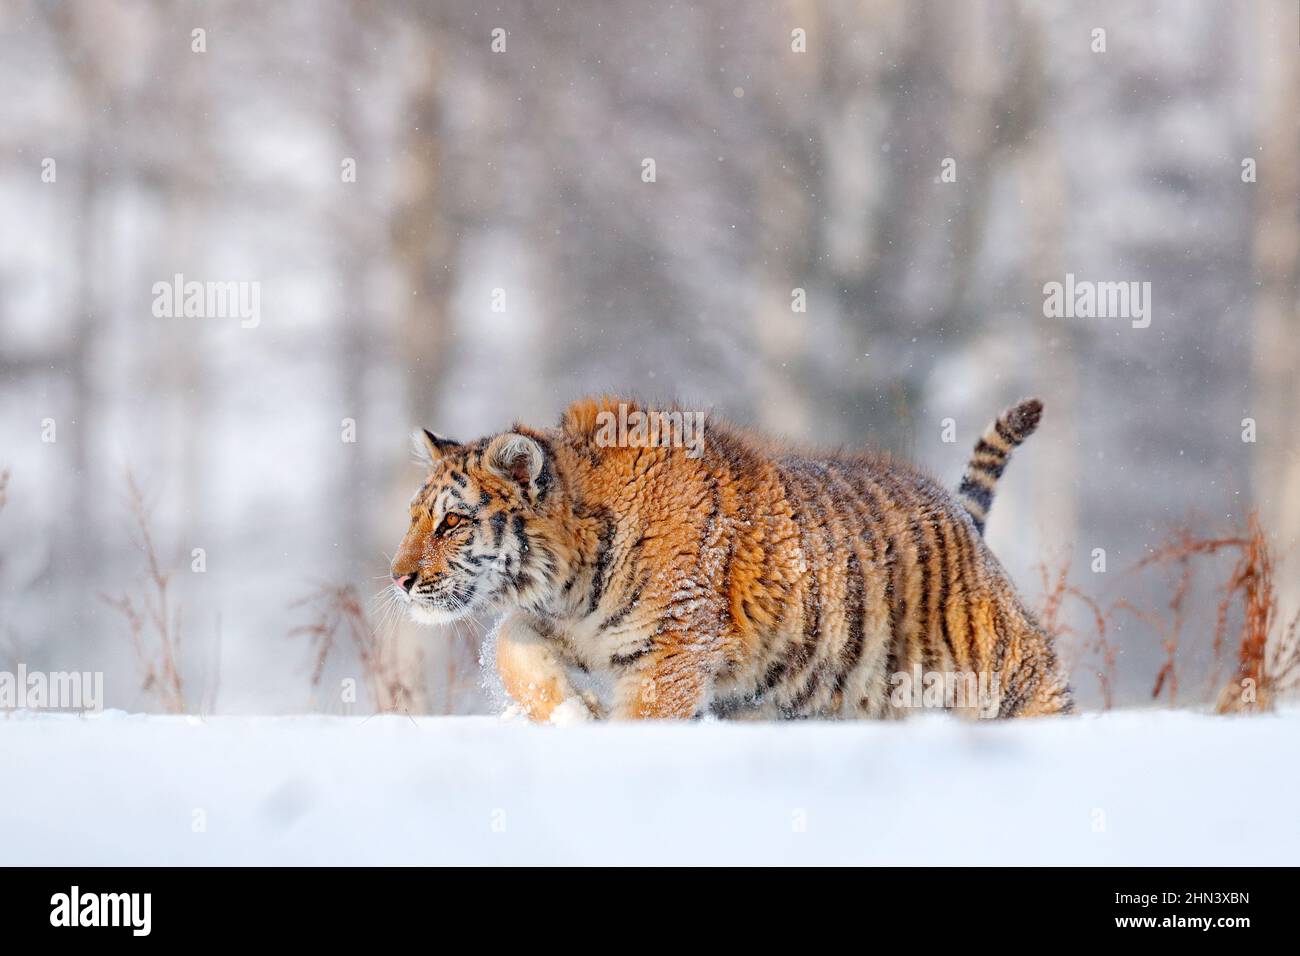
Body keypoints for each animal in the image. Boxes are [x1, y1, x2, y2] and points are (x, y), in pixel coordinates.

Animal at [389, 396, 1072, 722]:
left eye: (452, 522)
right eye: (415, 516)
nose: (400, 580)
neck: (569, 581)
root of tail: (962, 519)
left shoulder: (672, 652)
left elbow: (643, 719)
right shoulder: (565, 627)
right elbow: (512, 644)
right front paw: (574, 714)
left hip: (1008, 675)